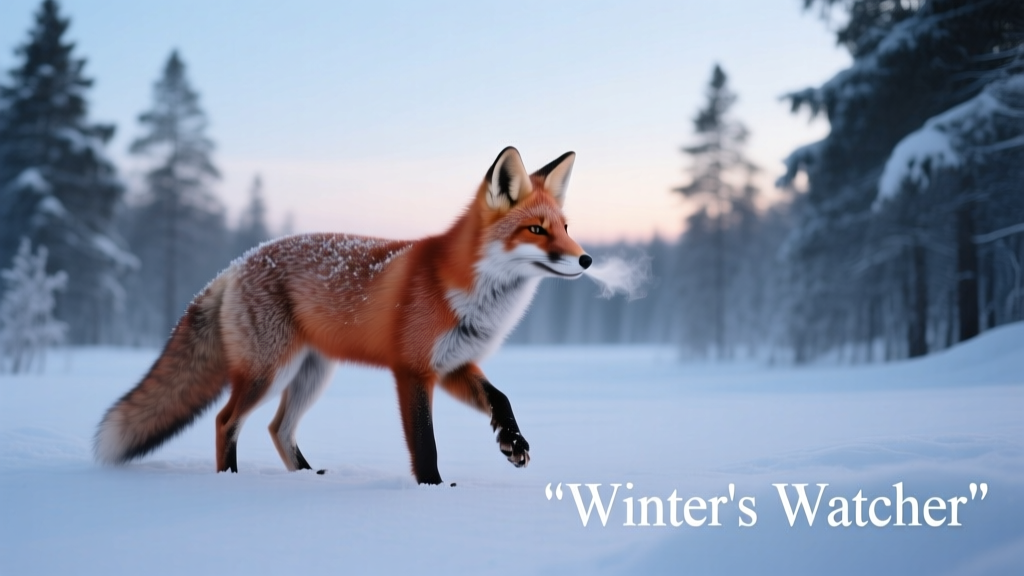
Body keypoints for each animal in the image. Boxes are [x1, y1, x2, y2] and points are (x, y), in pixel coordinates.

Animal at [95, 146, 591, 484]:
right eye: (536, 230)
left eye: (566, 228)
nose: (586, 259)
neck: (469, 295)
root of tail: (236, 264)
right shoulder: (413, 370)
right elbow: (425, 446)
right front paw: (432, 493)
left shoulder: (453, 365)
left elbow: (500, 398)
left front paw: (513, 442)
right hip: (268, 372)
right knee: (225, 421)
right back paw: (231, 481)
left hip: (312, 374)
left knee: (277, 428)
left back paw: (307, 477)